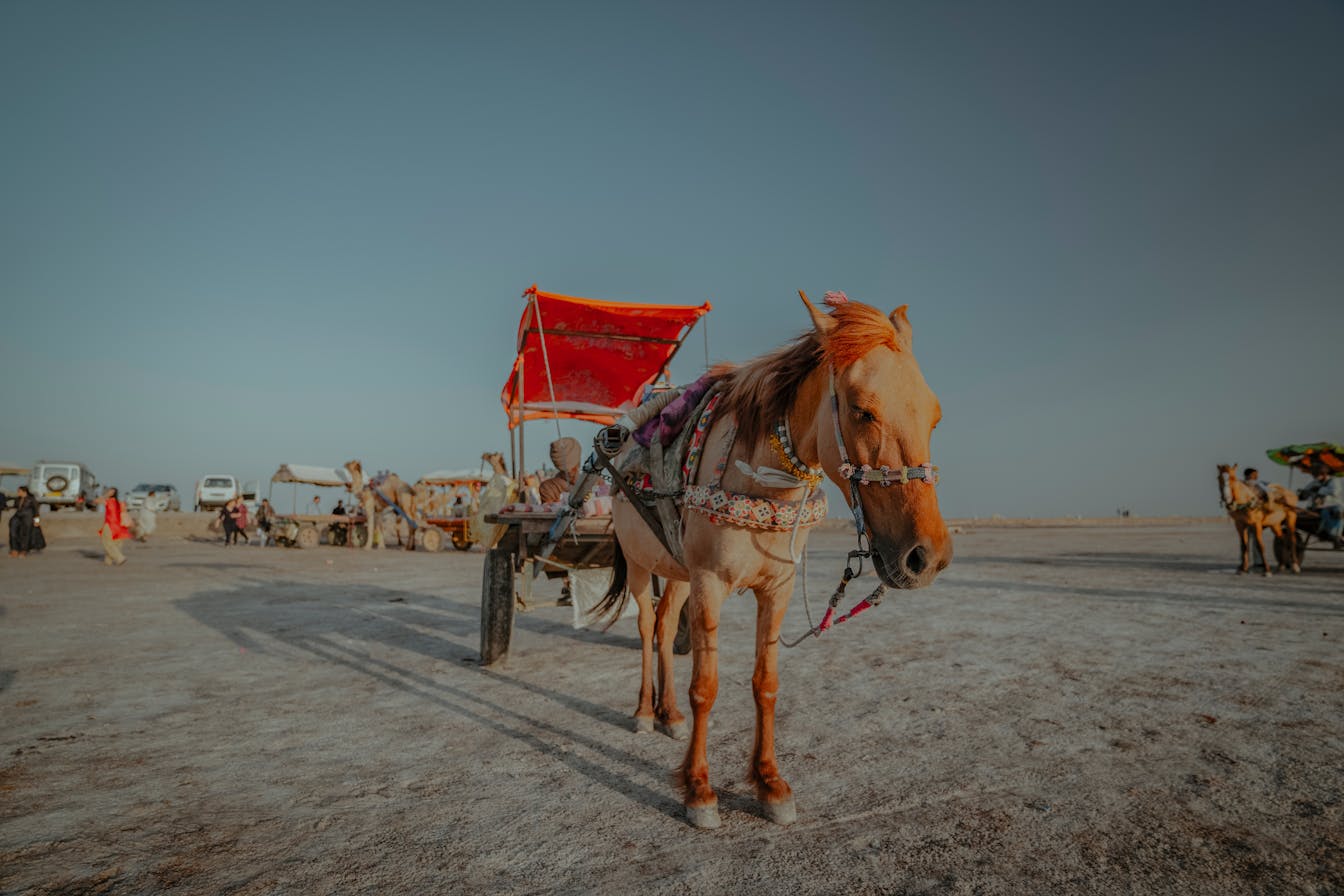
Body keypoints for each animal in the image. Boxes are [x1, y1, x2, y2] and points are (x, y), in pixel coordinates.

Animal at [599, 291, 953, 829]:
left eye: (933, 416)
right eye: (862, 411)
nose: (926, 557)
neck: (757, 476)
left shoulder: (775, 589)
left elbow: (765, 683)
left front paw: (769, 783)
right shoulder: (709, 583)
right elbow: (706, 686)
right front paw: (698, 790)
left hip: (676, 570)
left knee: (662, 628)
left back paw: (668, 716)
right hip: (642, 567)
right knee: (643, 628)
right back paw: (643, 712)